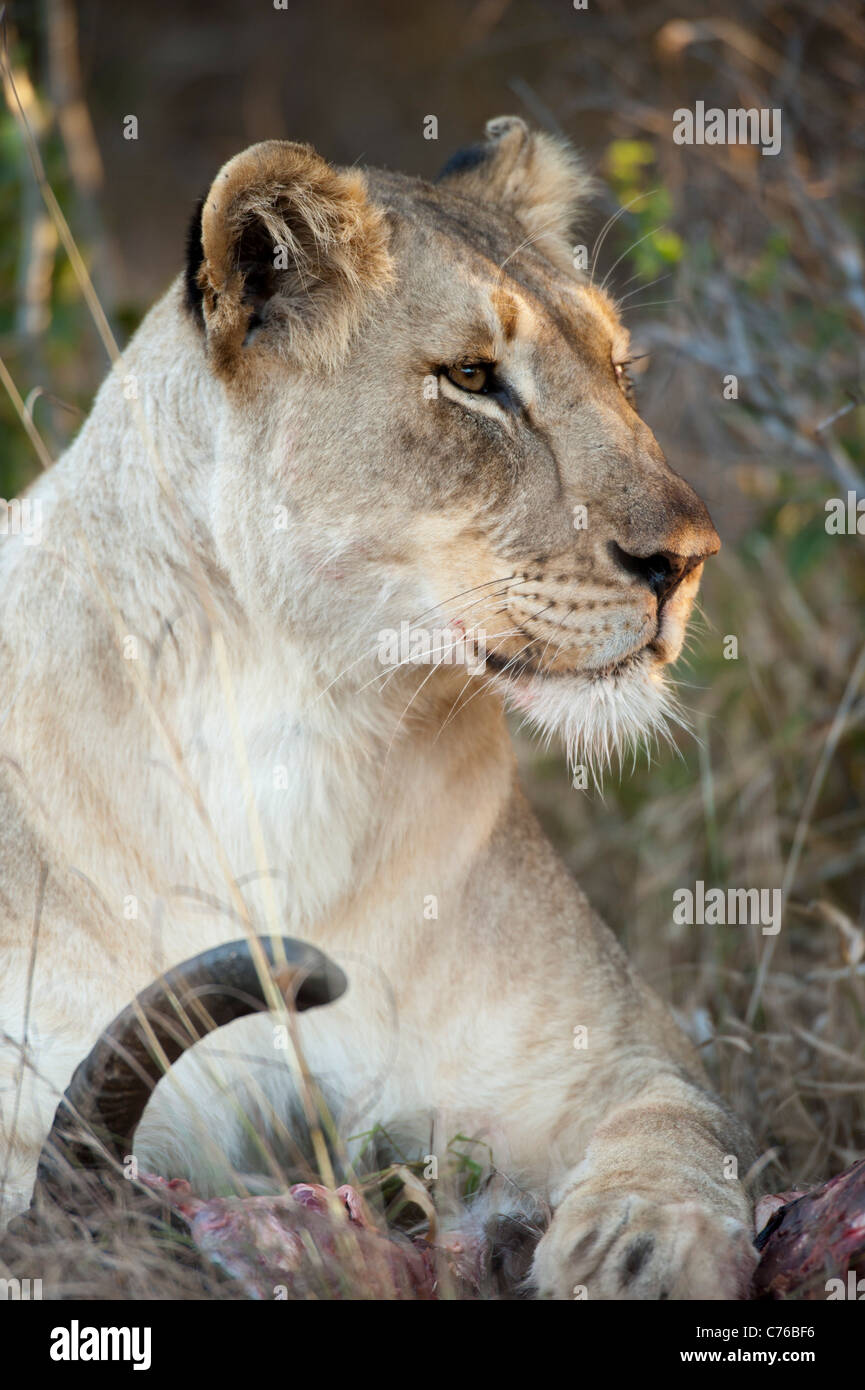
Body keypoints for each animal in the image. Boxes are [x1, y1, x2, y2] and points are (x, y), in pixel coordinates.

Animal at [0, 116, 757, 1299]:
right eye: (471, 378)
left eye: (620, 370)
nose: (685, 561)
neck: (300, 726)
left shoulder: (612, 1044)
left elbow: (682, 1124)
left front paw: (643, 1246)